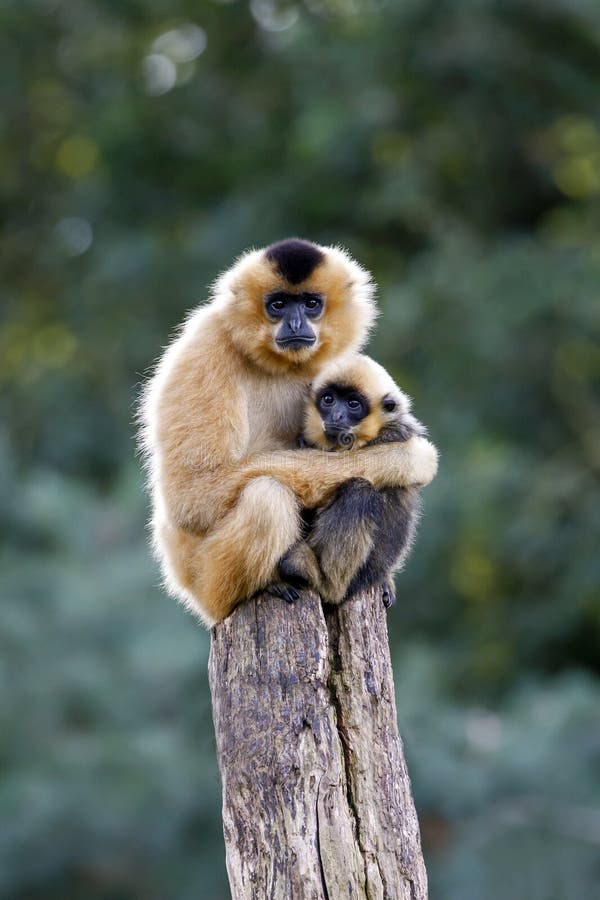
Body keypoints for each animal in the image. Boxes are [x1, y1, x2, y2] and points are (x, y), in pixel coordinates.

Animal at [277, 354, 426, 608]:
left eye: (353, 404)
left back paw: (327, 585)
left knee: (359, 491)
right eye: (329, 400)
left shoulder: (397, 435)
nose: (336, 415)